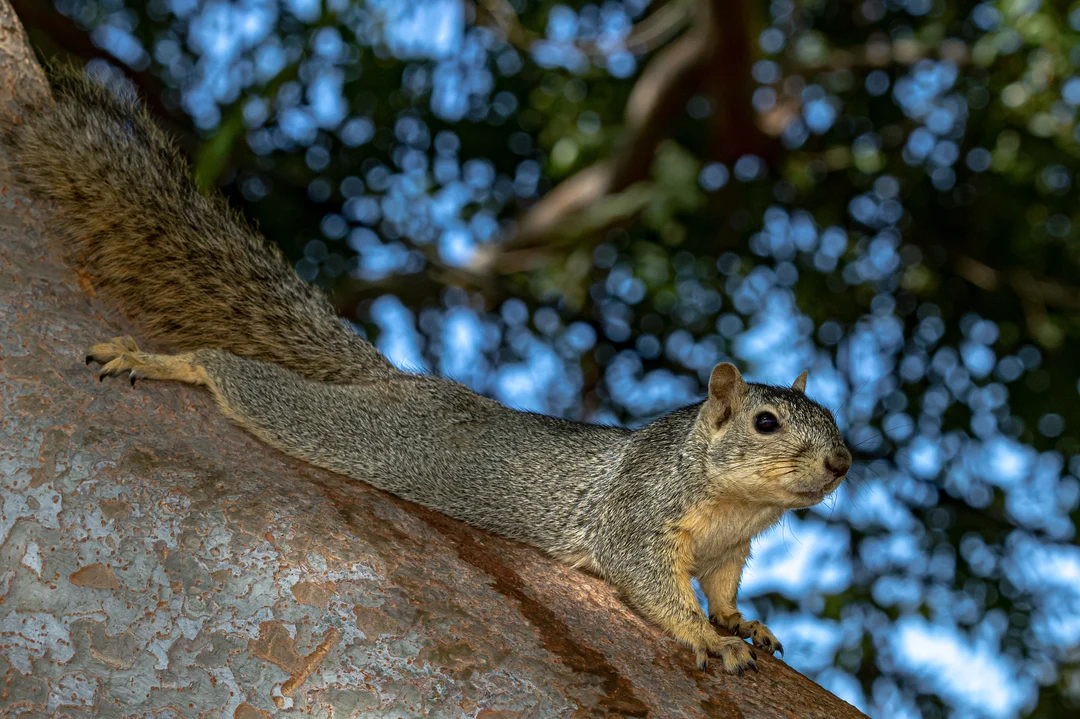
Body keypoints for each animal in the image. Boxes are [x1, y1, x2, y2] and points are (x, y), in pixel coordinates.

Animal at [7, 68, 852, 674]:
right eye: (765, 421)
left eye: (836, 422)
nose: (843, 462)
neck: (734, 502)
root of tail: (399, 381)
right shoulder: (641, 513)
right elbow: (648, 580)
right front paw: (706, 638)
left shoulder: (731, 549)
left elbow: (725, 586)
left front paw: (741, 620)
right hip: (356, 431)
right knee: (245, 382)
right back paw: (168, 361)